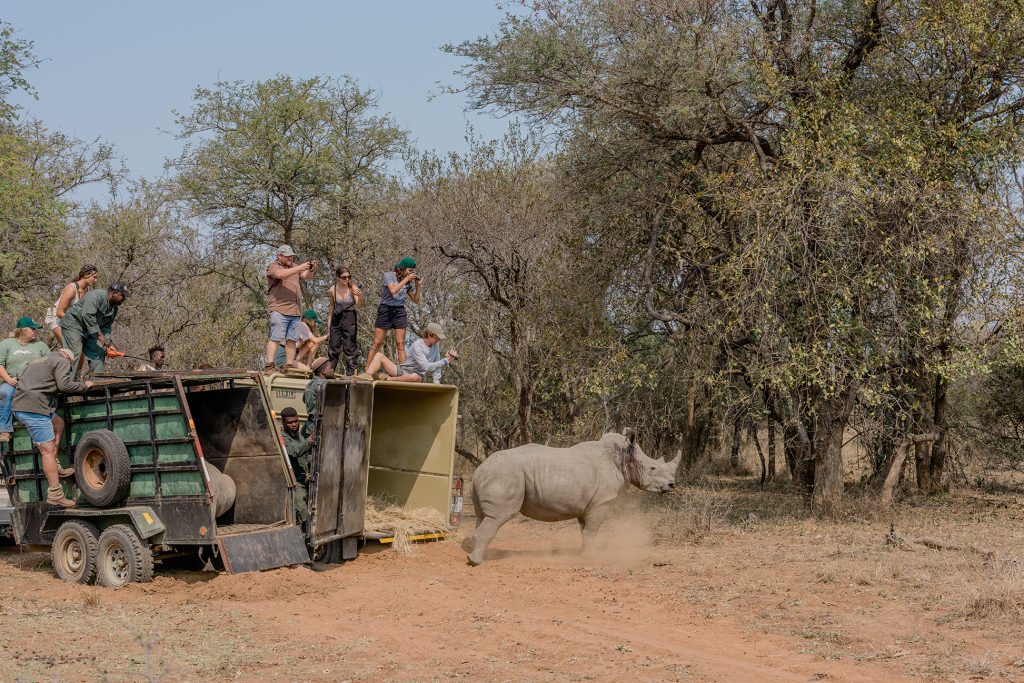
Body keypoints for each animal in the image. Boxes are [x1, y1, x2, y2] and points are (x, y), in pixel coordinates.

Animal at [466, 429, 678, 566]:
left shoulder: (587, 505)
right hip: (505, 475)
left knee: (483, 516)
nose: (672, 485)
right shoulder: (601, 502)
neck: (623, 457)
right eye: (653, 468)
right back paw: (476, 562)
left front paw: (581, 553)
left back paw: (478, 555)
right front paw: (591, 558)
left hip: (492, 475)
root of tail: (479, 469)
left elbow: (585, 531)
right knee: (498, 517)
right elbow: (592, 531)